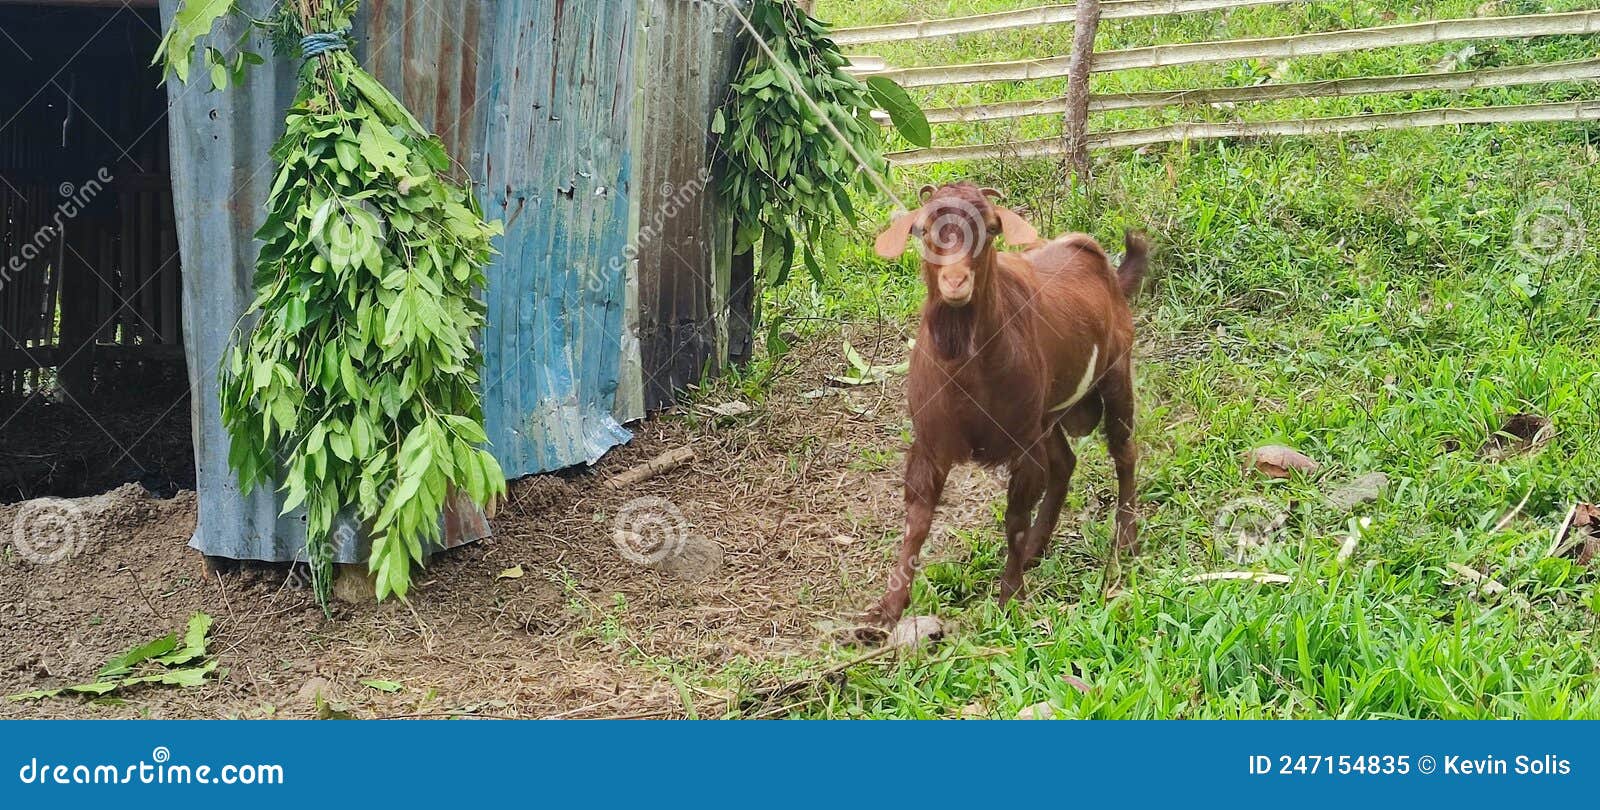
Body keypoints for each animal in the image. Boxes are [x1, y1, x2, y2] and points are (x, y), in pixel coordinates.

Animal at [867, 182, 1147, 626]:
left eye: (991, 229)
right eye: (923, 230)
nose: (956, 280)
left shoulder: (1022, 442)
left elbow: (1014, 518)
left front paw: (1009, 598)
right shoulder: (930, 443)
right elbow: (917, 520)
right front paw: (886, 611)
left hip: (1115, 372)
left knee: (1124, 451)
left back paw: (1125, 542)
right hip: (1046, 417)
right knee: (1065, 462)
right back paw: (1036, 549)